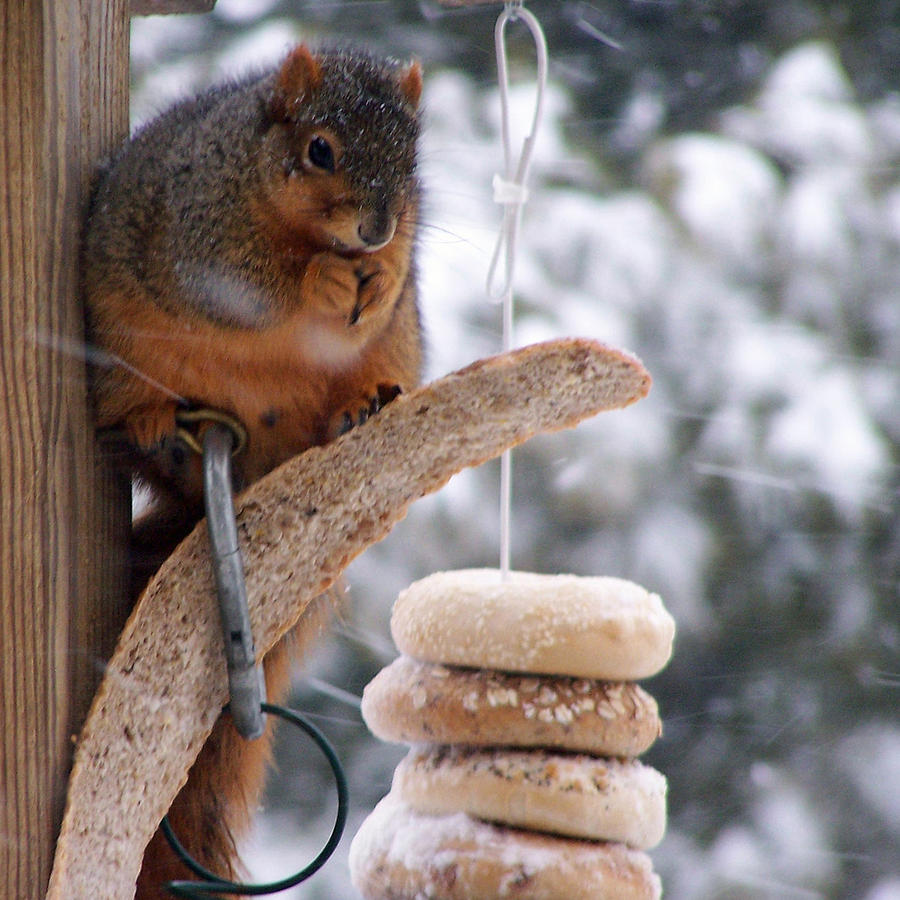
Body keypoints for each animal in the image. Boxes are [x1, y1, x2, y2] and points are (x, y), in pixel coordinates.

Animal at [83, 44, 424, 897]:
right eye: (320, 150)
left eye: (412, 160)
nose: (376, 229)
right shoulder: (198, 223)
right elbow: (249, 281)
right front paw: (321, 282)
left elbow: (385, 292)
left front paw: (374, 282)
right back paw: (158, 429)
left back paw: (358, 408)